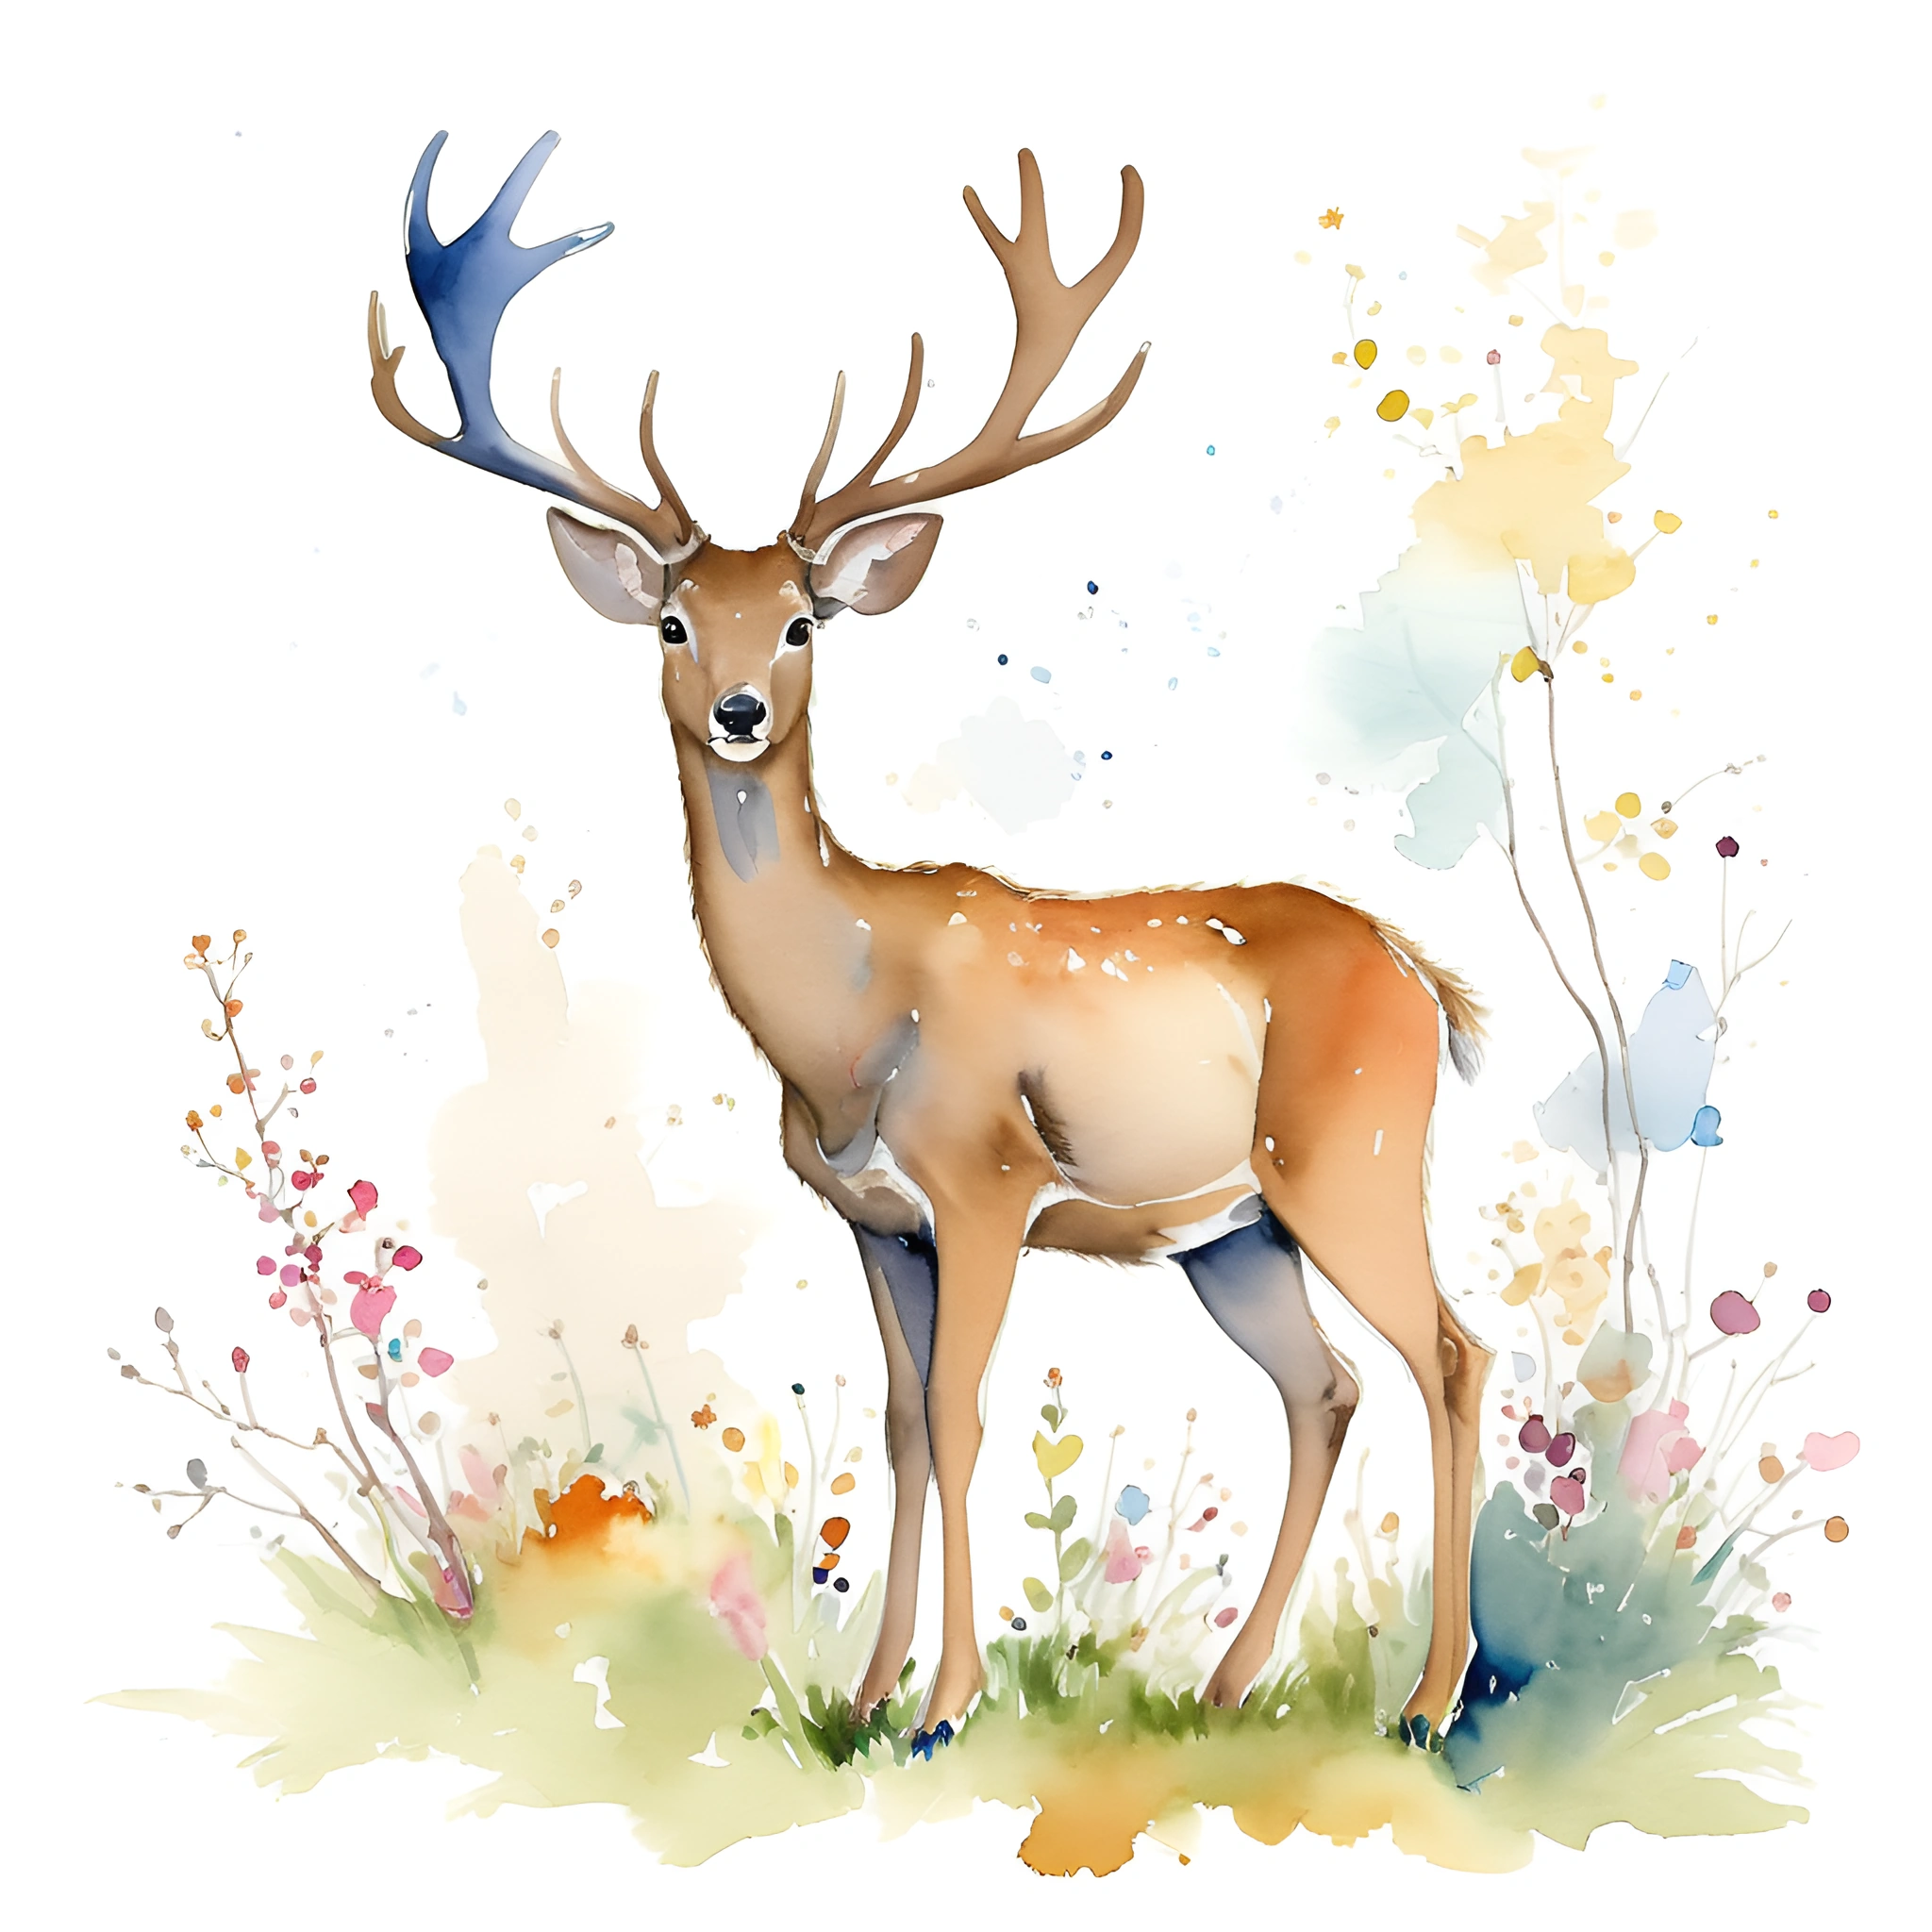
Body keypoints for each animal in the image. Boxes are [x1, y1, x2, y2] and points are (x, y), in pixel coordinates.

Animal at [369, 130, 1493, 1751]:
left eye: (801, 621)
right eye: (673, 623)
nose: (738, 710)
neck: (842, 1031)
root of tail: (1428, 977)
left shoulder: (985, 1179)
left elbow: (962, 1416)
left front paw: (945, 1708)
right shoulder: (873, 1215)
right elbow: (904, 1425)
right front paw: (866, 1693)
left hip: (1351, 1155)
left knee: (1449, 1355)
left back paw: (1429, 1699)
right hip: (1235, 1231)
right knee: (1324, 1386)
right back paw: (1228, 1685)